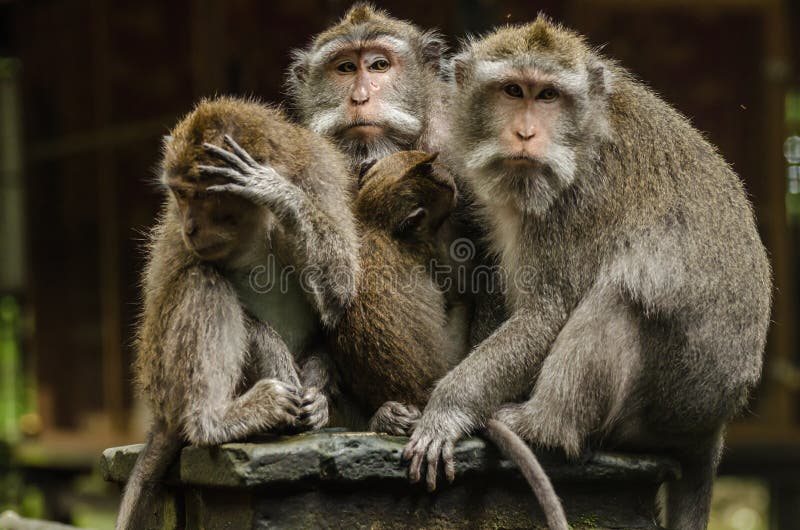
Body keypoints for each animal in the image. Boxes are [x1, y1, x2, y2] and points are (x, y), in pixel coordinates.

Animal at [116, 97, 359, 530]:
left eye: (201, 196)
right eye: (181, 195)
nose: (191, 227)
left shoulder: (320, 179)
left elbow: (340, 293)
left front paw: (275, 190)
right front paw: (277, 361)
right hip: (166, 383)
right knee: (203, 281)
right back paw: (213, 421)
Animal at [403, 17, 772, 530]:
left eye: (548, 96)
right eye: (513, 91)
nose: (525, 133)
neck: (582, 135)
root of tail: (715, 422)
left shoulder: (573, 205)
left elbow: (546, 315)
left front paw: (446, 409)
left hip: (670, 400)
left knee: (622, 297)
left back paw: (542, 425)